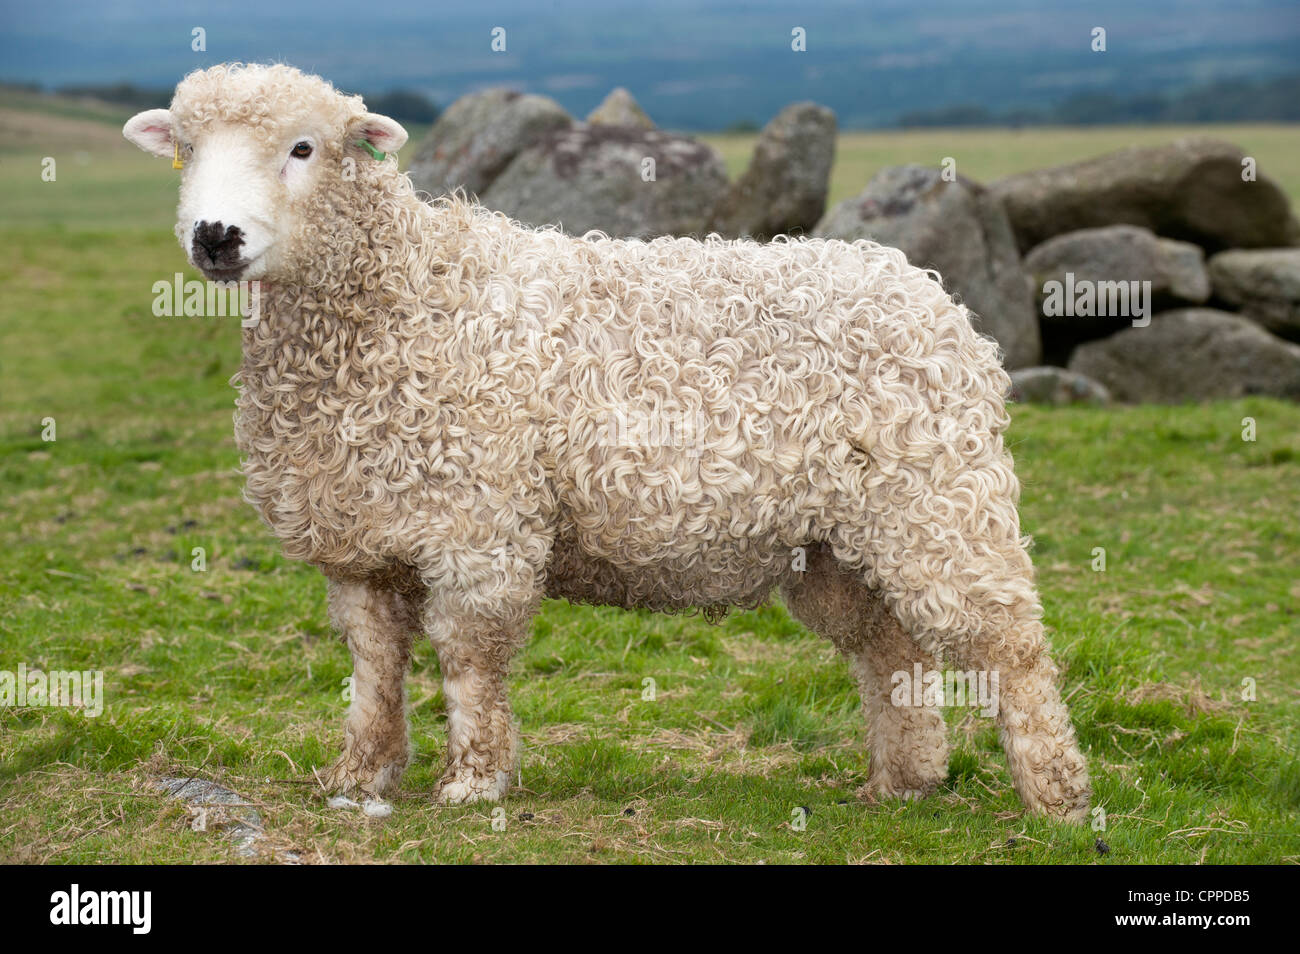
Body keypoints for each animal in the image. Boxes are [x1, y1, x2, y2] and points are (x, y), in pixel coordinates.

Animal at [124, 63, 1091, 819]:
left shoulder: (478, 528)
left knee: (1010, 644)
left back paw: (1057, 797)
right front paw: (360, 777)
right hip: (838, 542)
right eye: (188, 151)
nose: (217, 237)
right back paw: (903, 782)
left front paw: (475, 783)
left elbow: (468, 660)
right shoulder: (360, 539)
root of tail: (925, 290)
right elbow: (373, 667)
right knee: (891, 652)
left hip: (940, 502)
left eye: (303, 148)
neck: (403, 298)